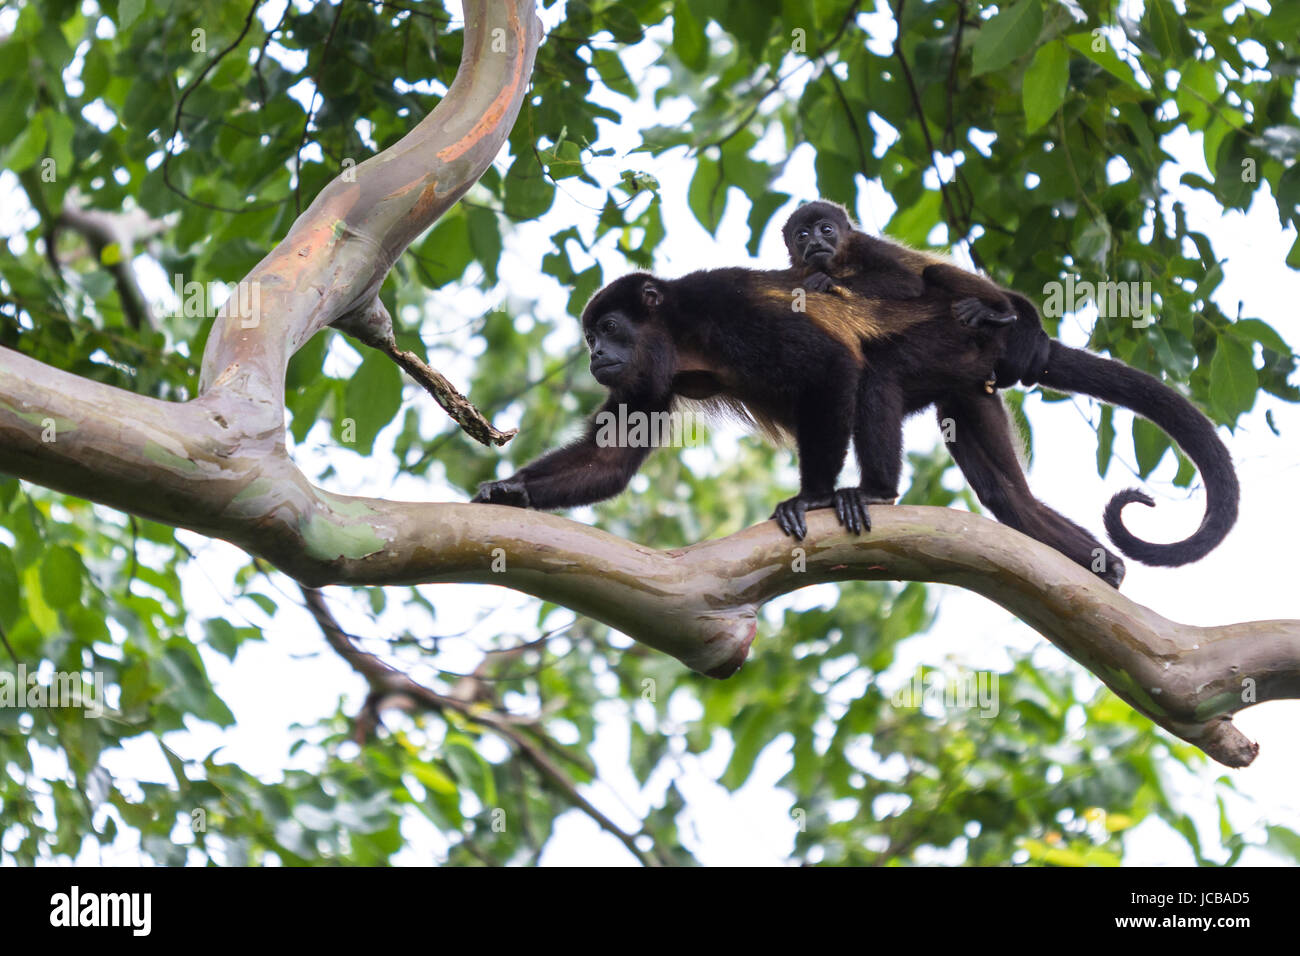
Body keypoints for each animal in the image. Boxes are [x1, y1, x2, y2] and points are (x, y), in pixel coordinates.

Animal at [472, 269, 1239, 588]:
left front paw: (809, 498)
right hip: (970, 383)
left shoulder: (729, 311)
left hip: (945, 341)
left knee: (876, 373)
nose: (593, 355)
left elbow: (833, 366)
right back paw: (1095, 563)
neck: (679, 334)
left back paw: (872, 492)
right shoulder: (647, 378)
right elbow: (613, 457)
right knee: (1006, 495)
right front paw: (509, 493)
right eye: (591, 336)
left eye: (608, 328)